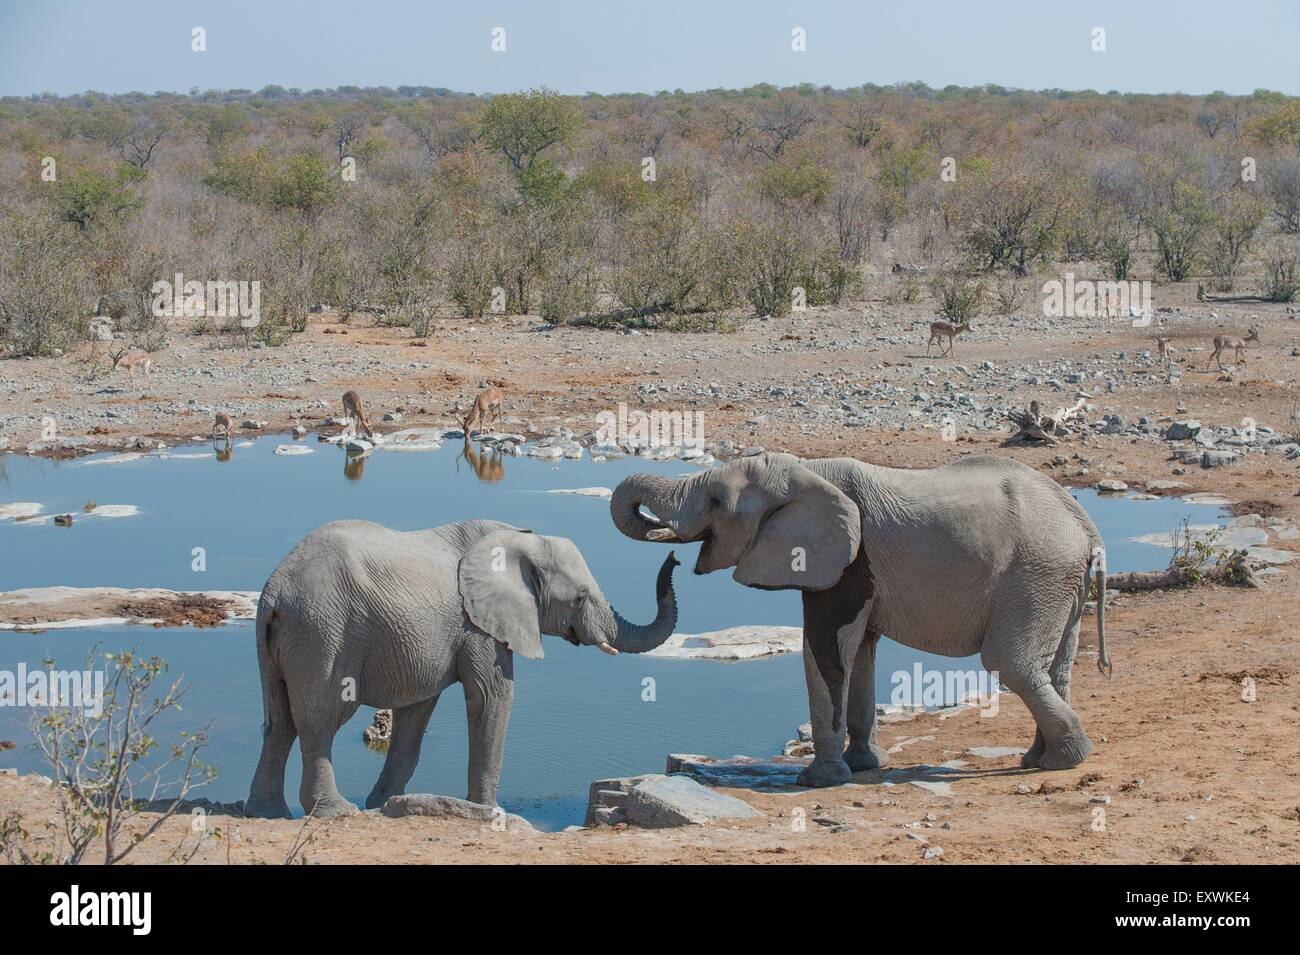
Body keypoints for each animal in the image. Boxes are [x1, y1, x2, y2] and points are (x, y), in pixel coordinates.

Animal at [245, 519, 679, 818]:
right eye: (579, 598)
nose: (674, 555)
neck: (519, 538)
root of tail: (275, 589)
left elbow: (417, 713)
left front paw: (383, 804)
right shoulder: (479, 626)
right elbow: (491, 696)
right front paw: (488, 811)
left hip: (284, 639)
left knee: (278, 723)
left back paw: (267, 813)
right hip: (324, 633)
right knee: (319, 721)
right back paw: (334, 812)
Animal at [610, 453, 1109, 787]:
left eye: (715, 500)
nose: (672, 558)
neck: (806, 471)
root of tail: (1086, 526)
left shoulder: (846, 562)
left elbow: (825, 649)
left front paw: (819, 780)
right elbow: (862, 652)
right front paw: (866, 764)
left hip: (1035, 573)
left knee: (1010, 663)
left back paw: (1066, 760)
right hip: (1059, 581)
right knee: (1055, 667)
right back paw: (1041, 759)